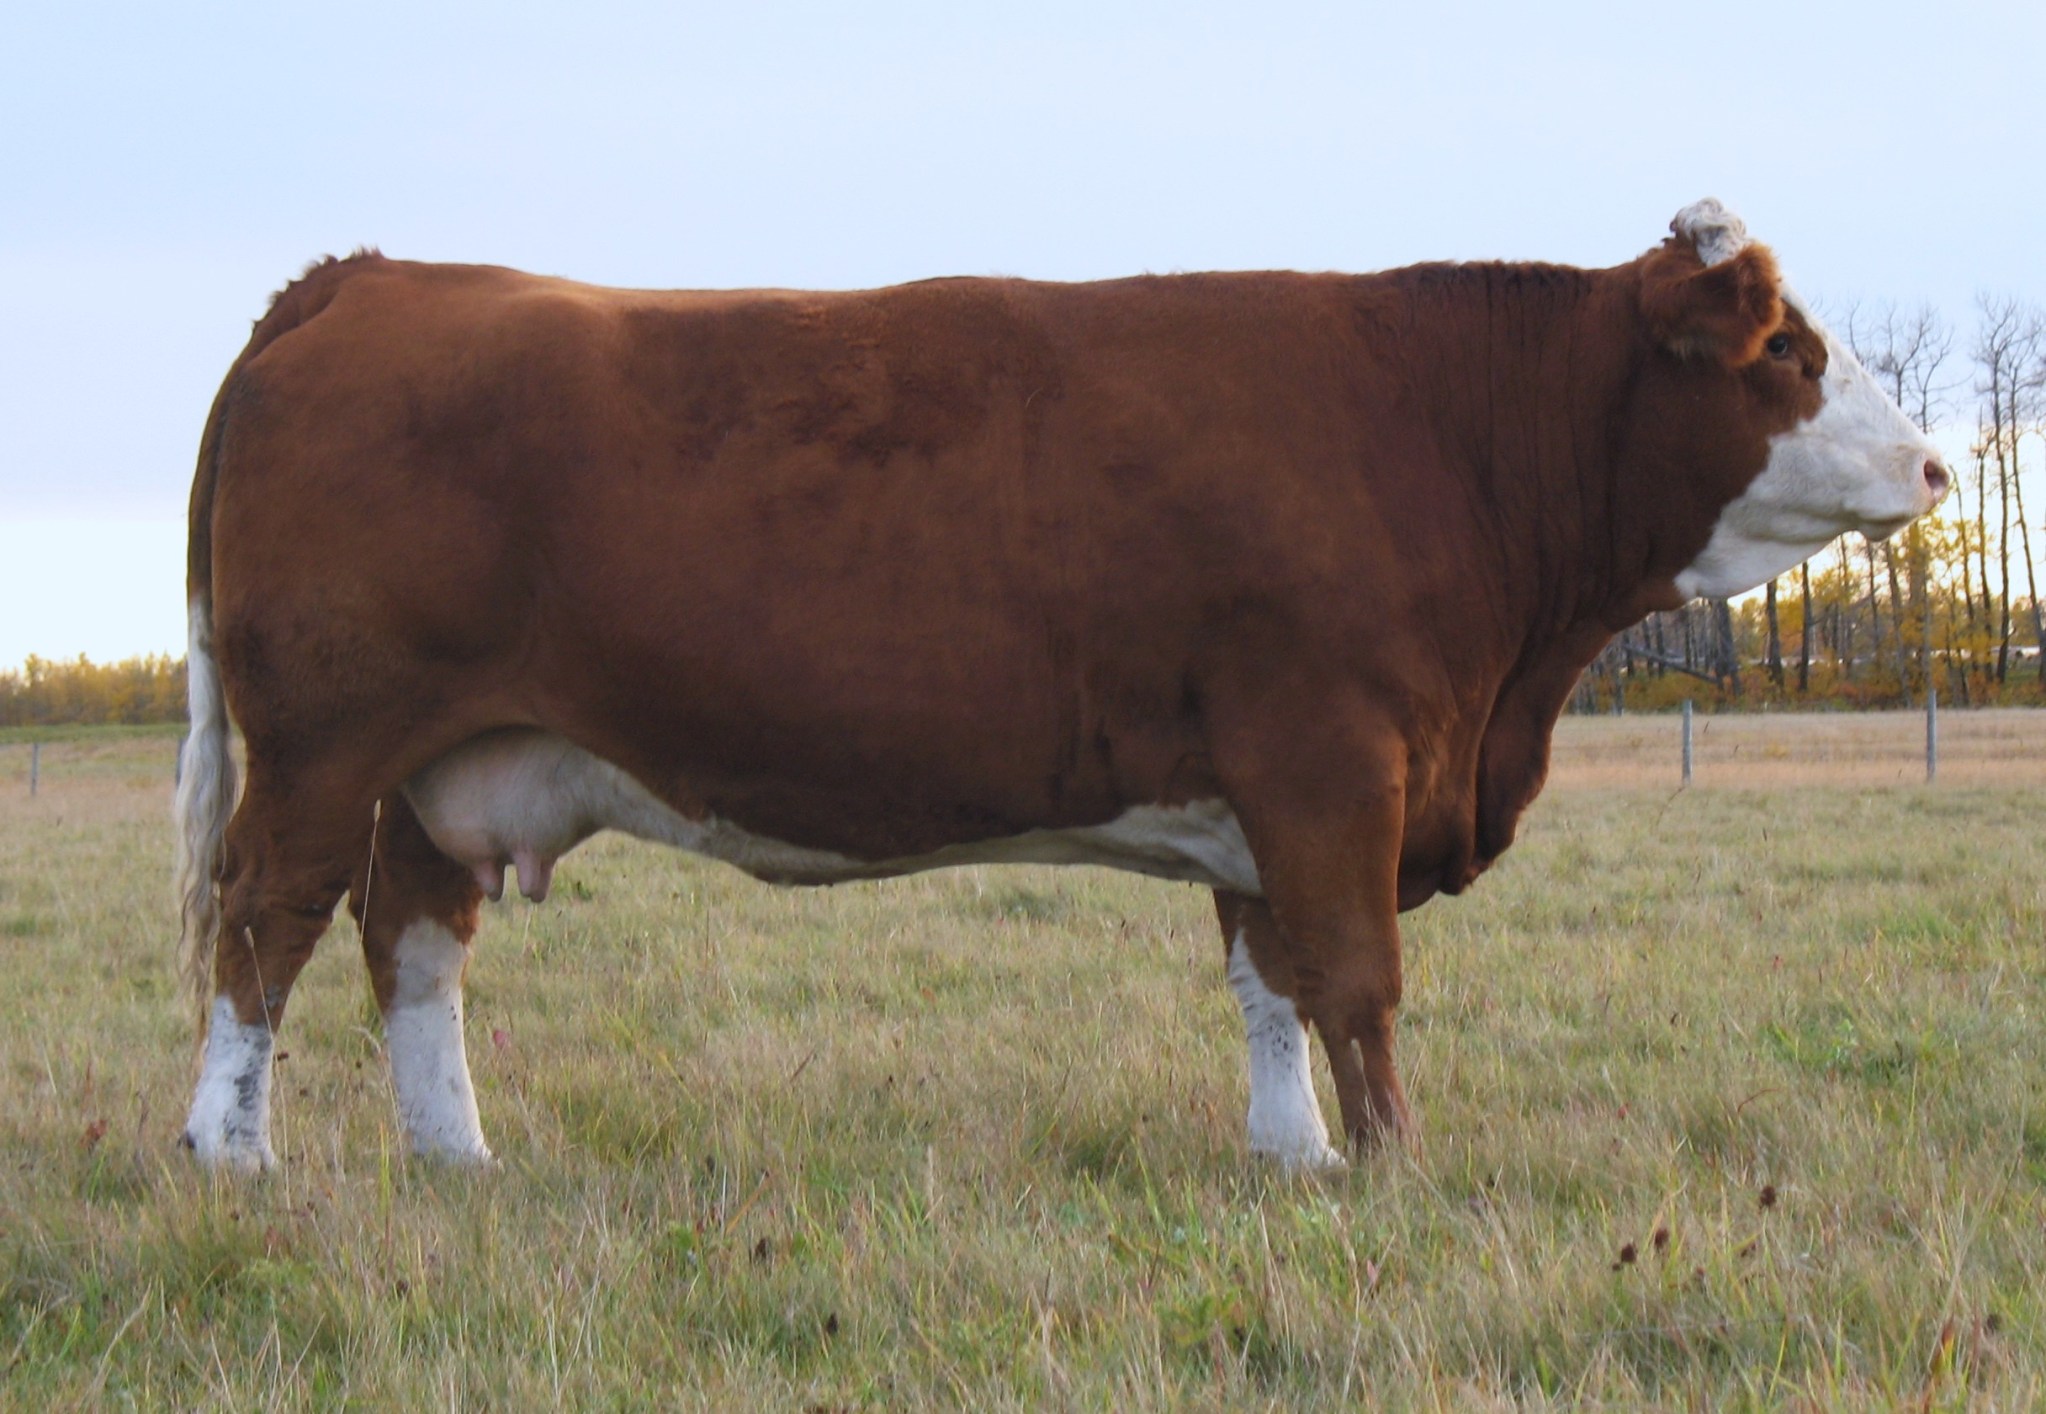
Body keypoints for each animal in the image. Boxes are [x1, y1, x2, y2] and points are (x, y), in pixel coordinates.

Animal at [175, 200, 1947, 1172]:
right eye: (1785, 351)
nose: (1936, 464)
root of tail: (368, 275)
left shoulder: (1257, 788)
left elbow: (1266, 982)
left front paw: (1295, 1161)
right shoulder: (1330, 759)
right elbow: (1356, 981)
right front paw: (1392, 1169)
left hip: (447, 763)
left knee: (409, 942)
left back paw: (456, 1157)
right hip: (323, 743)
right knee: (264, 925)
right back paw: (232, 1155)